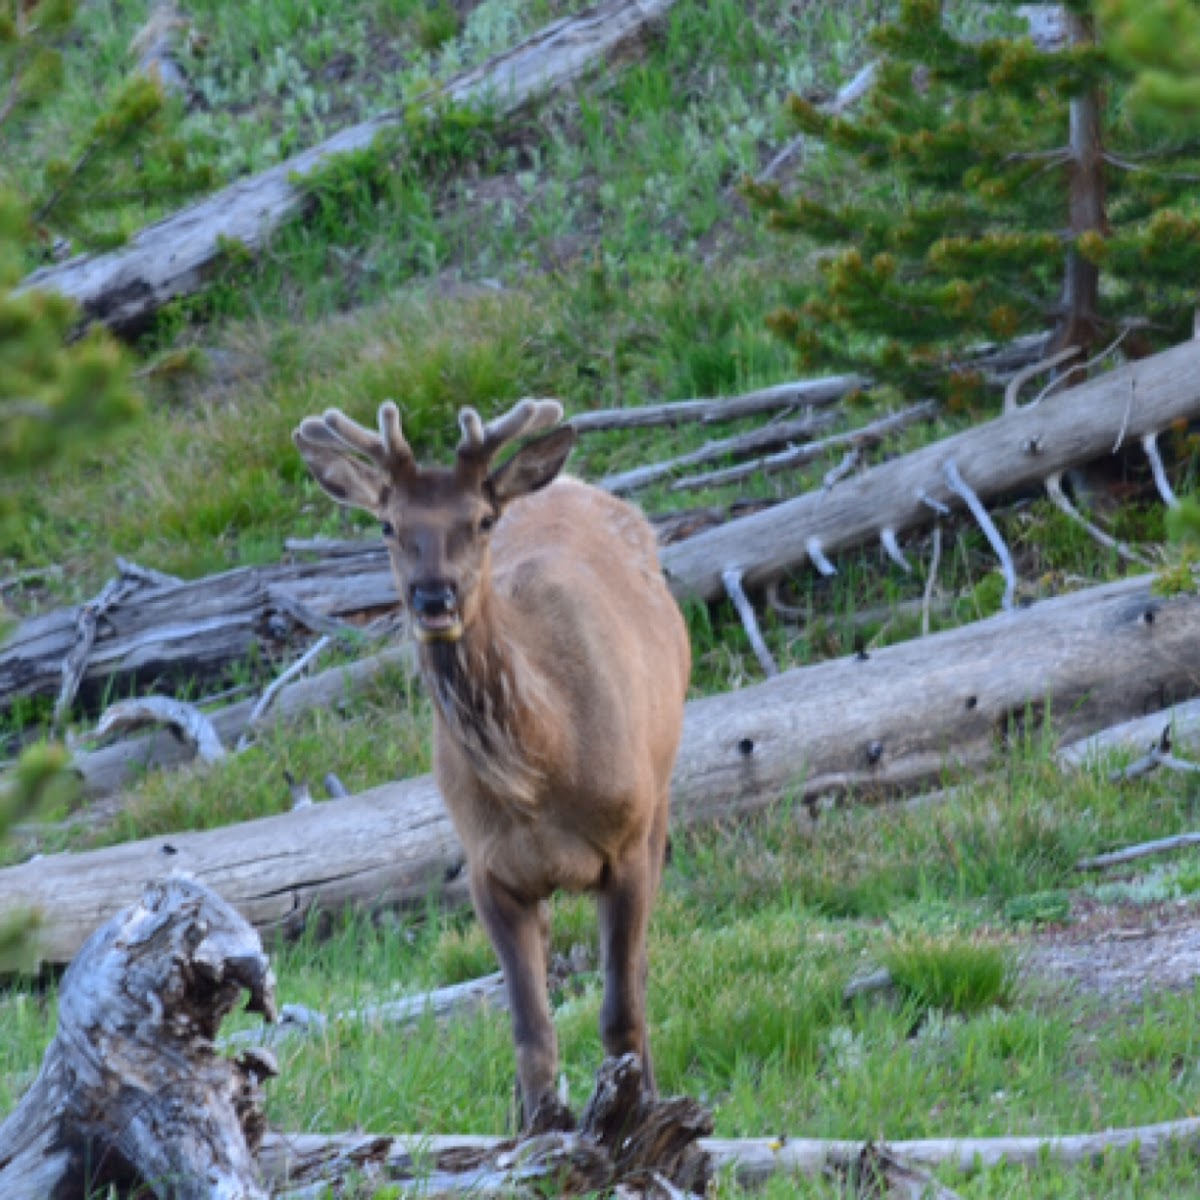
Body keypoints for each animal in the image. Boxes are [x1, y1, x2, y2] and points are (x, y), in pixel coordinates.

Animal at [293, 397, 691, 1129]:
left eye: (480, 519)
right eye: (389, 525)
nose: (433, 597)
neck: (539, 771)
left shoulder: (626, 843)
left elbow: (620, 1009)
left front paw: (637, 1112)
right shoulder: (489, 869)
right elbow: (530, 1030)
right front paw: (537, 1126)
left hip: (660, 798)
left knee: (639, 971)